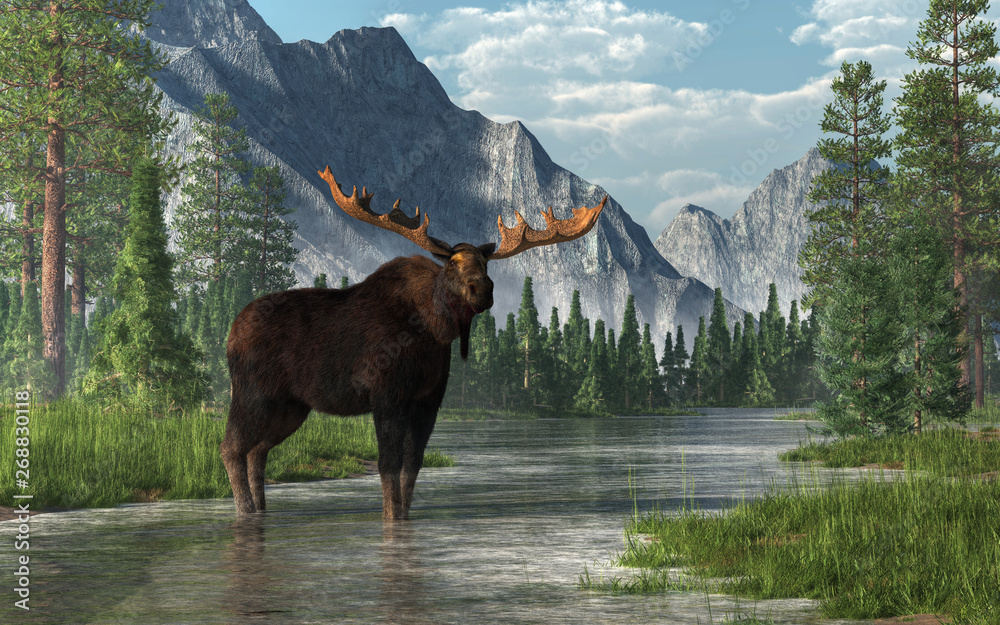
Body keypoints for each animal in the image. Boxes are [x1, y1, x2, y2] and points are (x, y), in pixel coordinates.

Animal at [221, 165, 606, 520]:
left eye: (486, 264)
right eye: (452, 263)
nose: (482, 290)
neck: (431, 333)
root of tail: (231, 331)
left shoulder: (428, 401)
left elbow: (413, 465)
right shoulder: (386, 396)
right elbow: (388, 465)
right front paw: (392, 520)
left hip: (291, 406)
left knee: (257, 451)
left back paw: (259, 512)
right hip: (253, 393)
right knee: (232, 447)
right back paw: (244, 511)